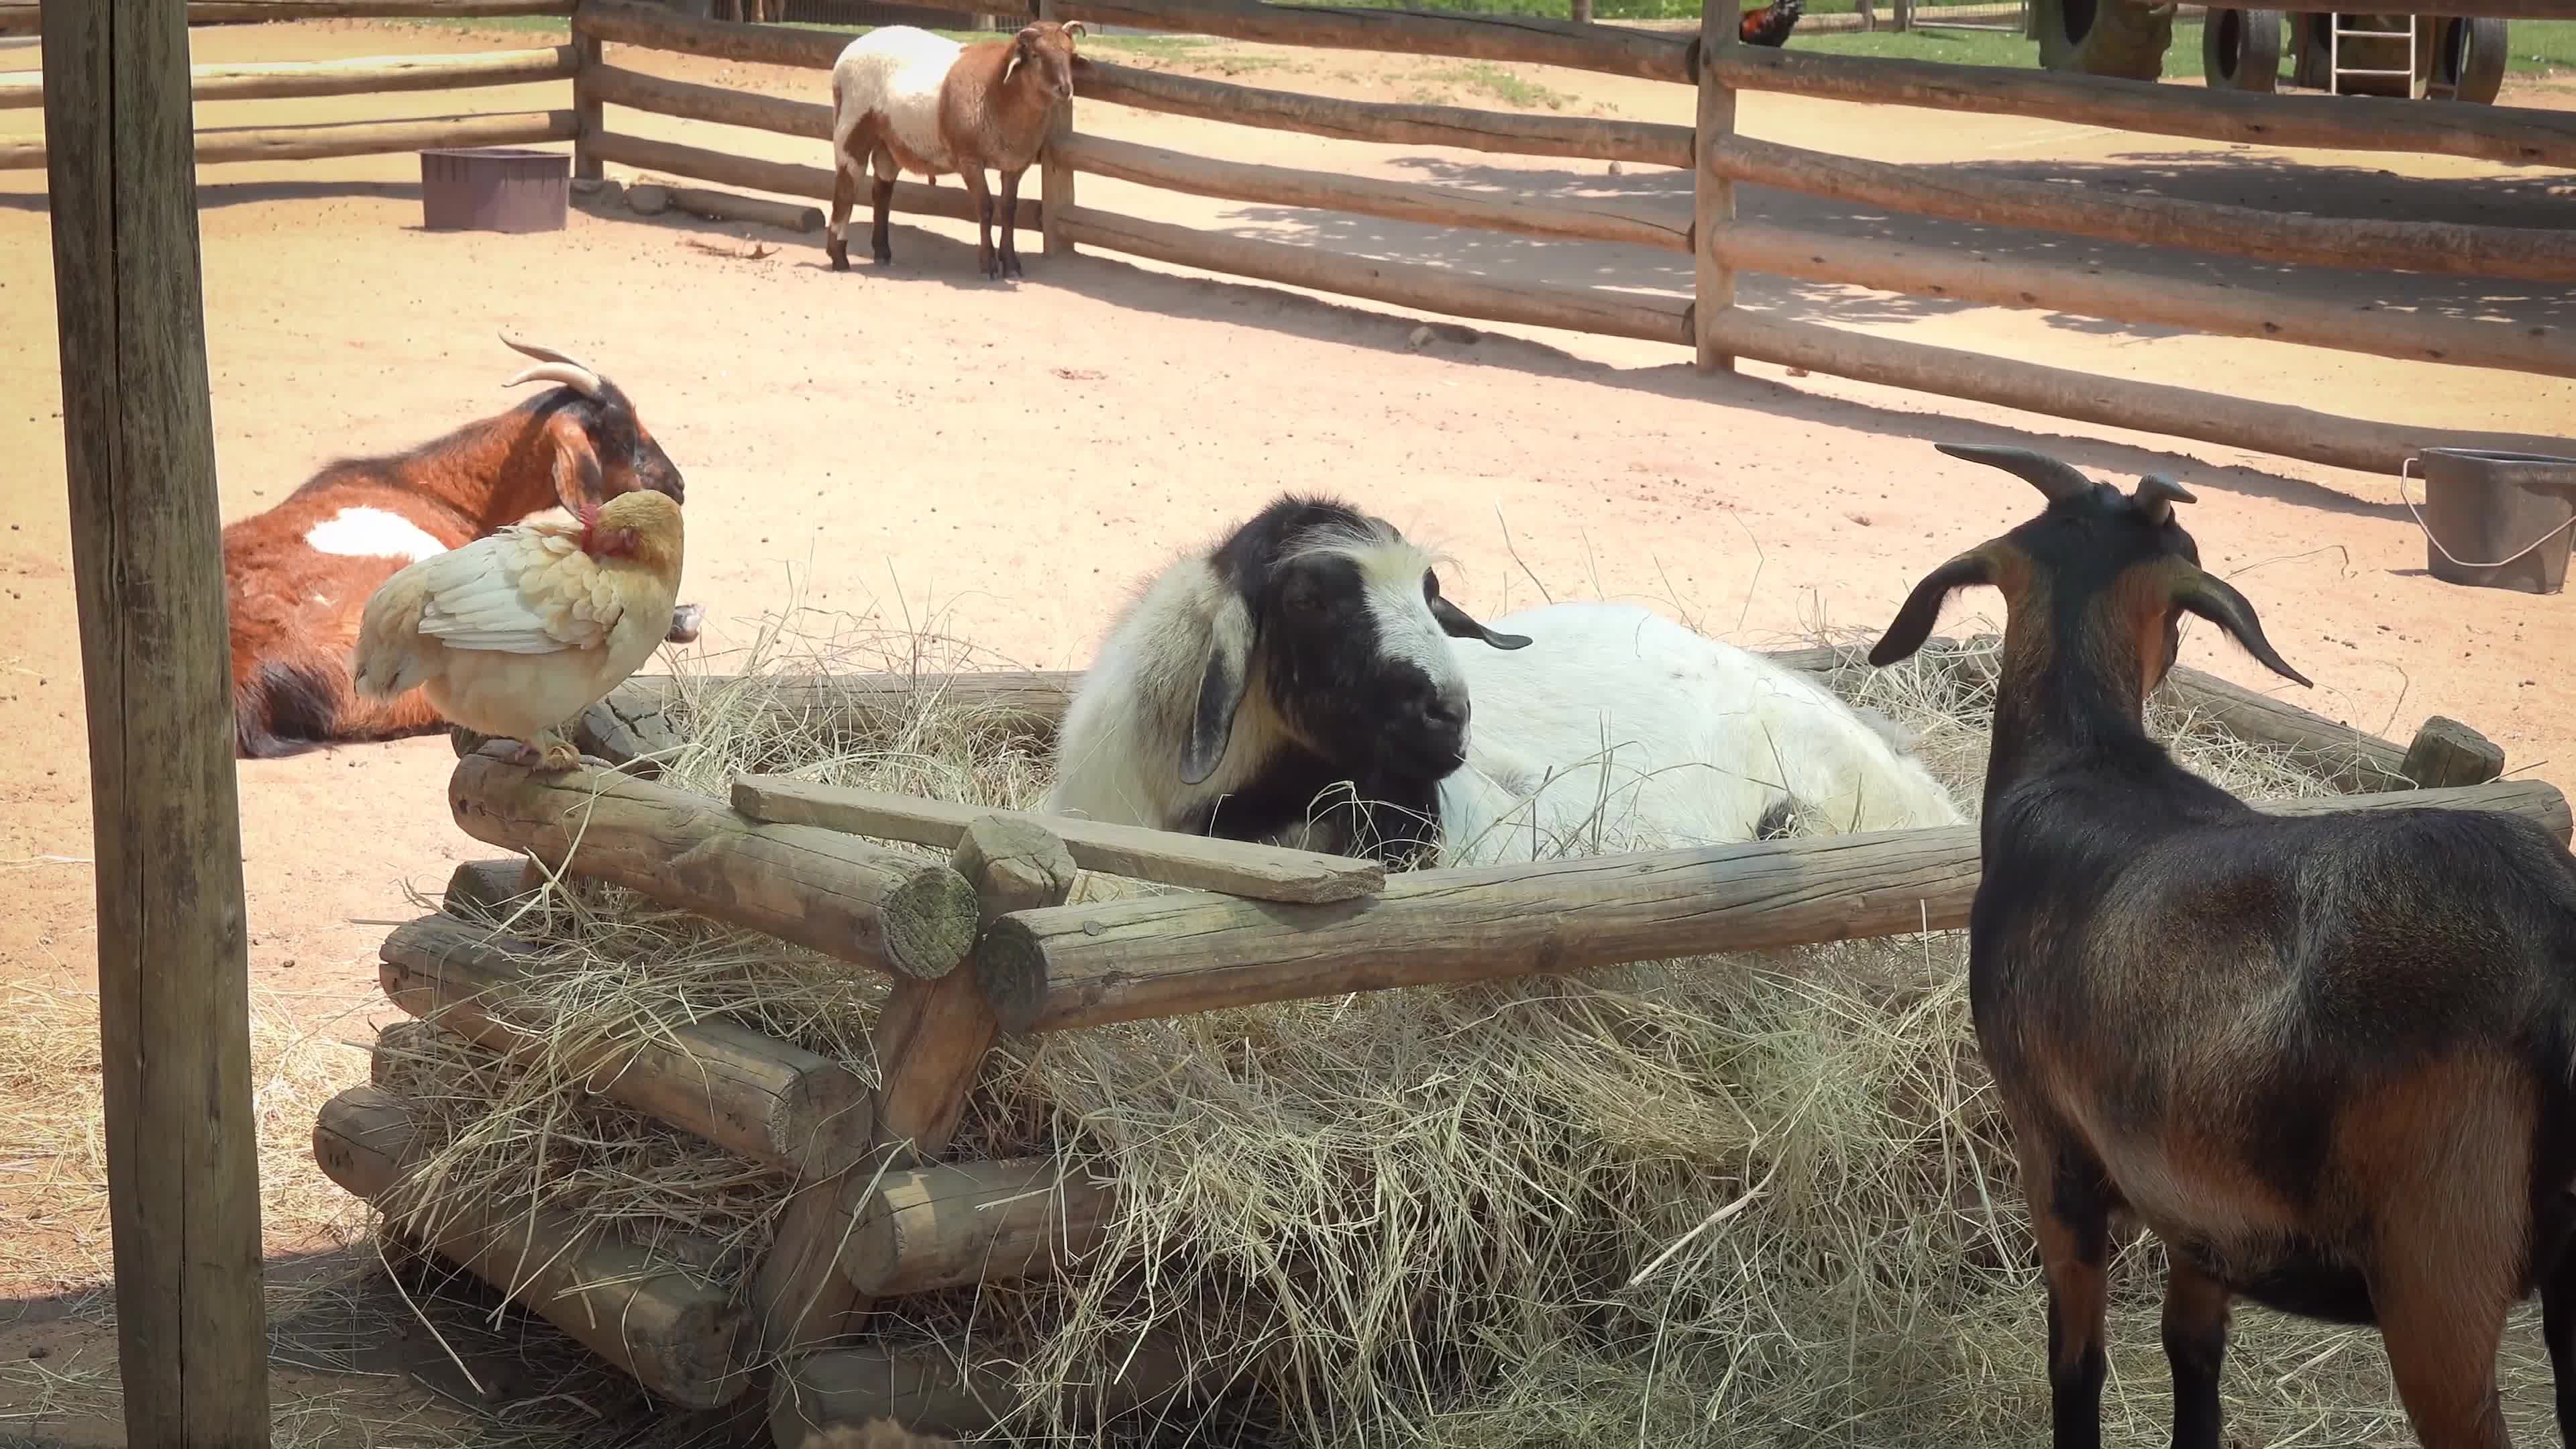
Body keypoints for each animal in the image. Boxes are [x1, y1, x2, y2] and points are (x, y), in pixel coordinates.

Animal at [824, 20, 1085, 280]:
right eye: (1035, 55)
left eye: (1070, 54)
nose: (1065, 89)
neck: (1002, 92)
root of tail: (851, 49)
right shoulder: (970, 160)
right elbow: (986, 208)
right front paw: (988, 264)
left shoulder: (1014, 164)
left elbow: (1009, 211)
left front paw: (1011, 265)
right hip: (852, 123)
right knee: (847, 186)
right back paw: (839, 256)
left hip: (888, 140)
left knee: (882, 192)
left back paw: (882, 253)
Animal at [1866, 442, 2576, 1449]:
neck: (2086, 766)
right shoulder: (2199, 1201)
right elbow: (2193, 1352)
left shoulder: (2052, 1147)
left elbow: (2076, 1363)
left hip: (2440, 1270)